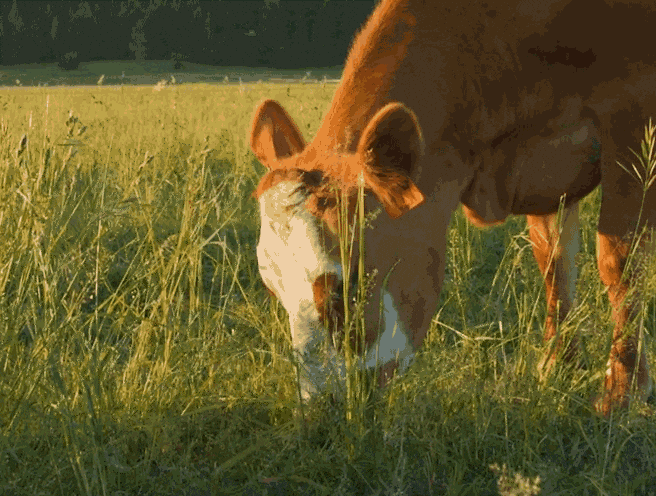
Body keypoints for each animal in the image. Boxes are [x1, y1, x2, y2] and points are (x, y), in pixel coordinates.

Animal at [249, 0, 656, 415]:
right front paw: (558, 367)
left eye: (346, 288)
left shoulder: (633, 113)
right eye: (271, 287)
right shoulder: (546, 173)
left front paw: (622, 391)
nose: (318, 410)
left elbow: (619, 261)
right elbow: (554, 263)